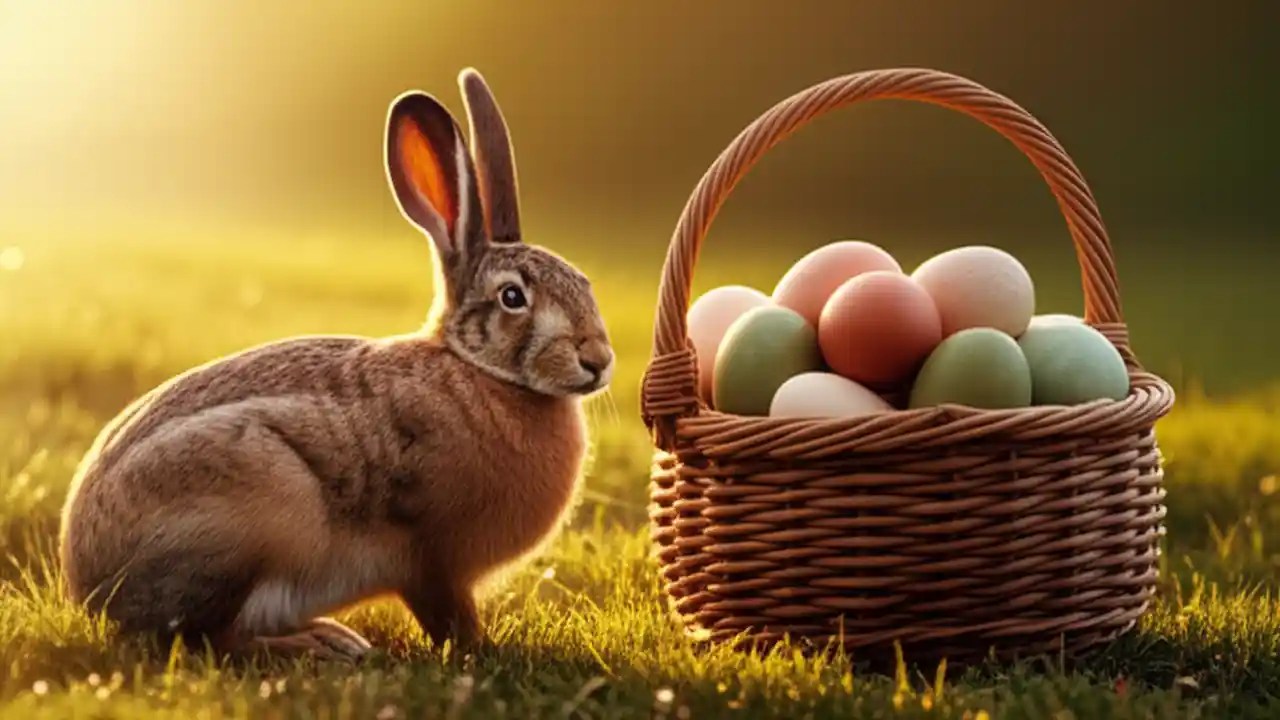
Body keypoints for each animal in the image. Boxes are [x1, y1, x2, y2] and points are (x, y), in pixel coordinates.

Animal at [57, 68, 614, 662]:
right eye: (513, 298)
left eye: (583, 283)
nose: (598, 361)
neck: (480, 371)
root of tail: (92, 589)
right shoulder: (432, 561)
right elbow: (448, 616)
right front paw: (479, 652)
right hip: (260, 516)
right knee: (207, 638)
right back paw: (324, 646)